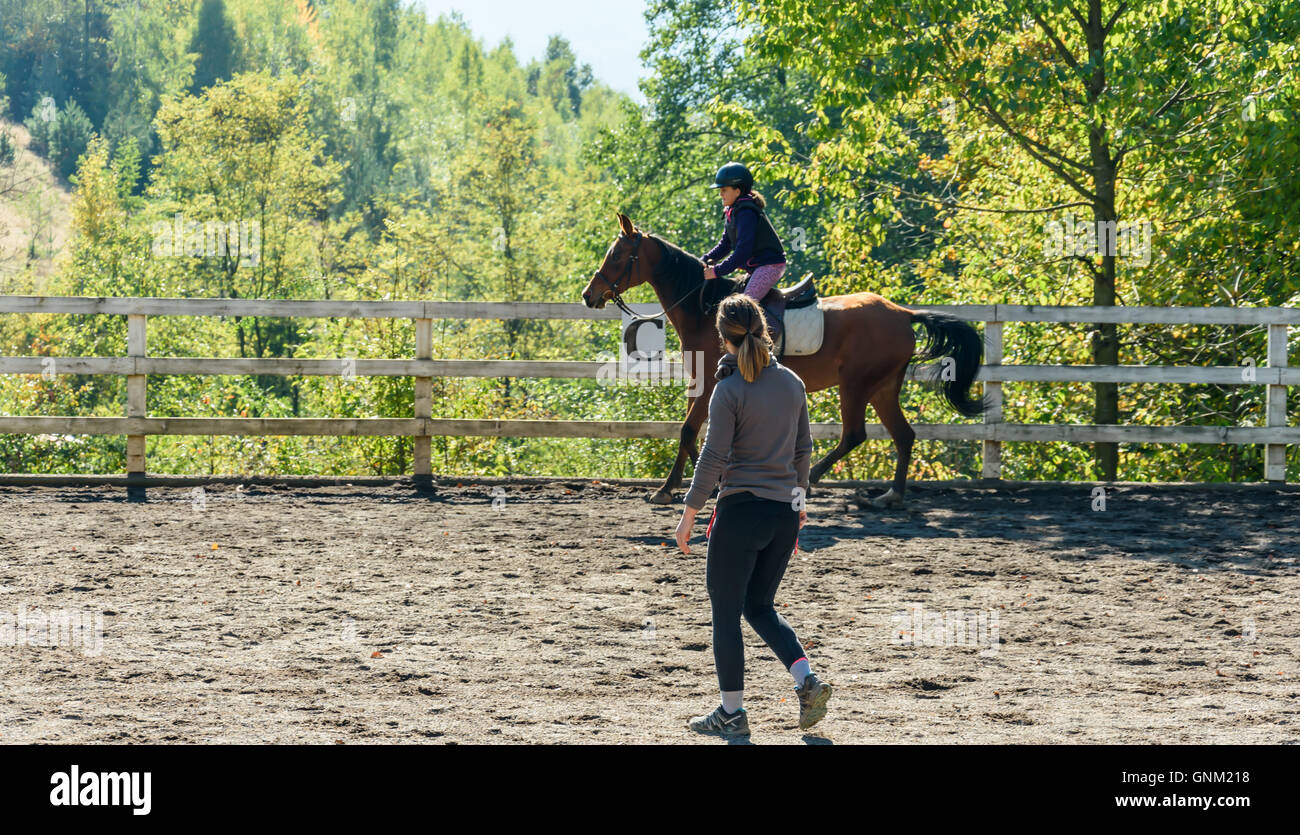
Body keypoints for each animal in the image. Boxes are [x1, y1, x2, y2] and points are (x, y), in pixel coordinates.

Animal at [581, 213, 986, 508]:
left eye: (617, 257)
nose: (589, 295)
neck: (703, 307)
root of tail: (903, 313)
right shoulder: (702, 382)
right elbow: (693, 431)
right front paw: (693, 482)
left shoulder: (711, 381)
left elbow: (689, 430)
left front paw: (673, 487)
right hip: (883, 386)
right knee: (904, 435)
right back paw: (891, 496)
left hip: (856, 384)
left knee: (854, 434)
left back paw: (812, 482)